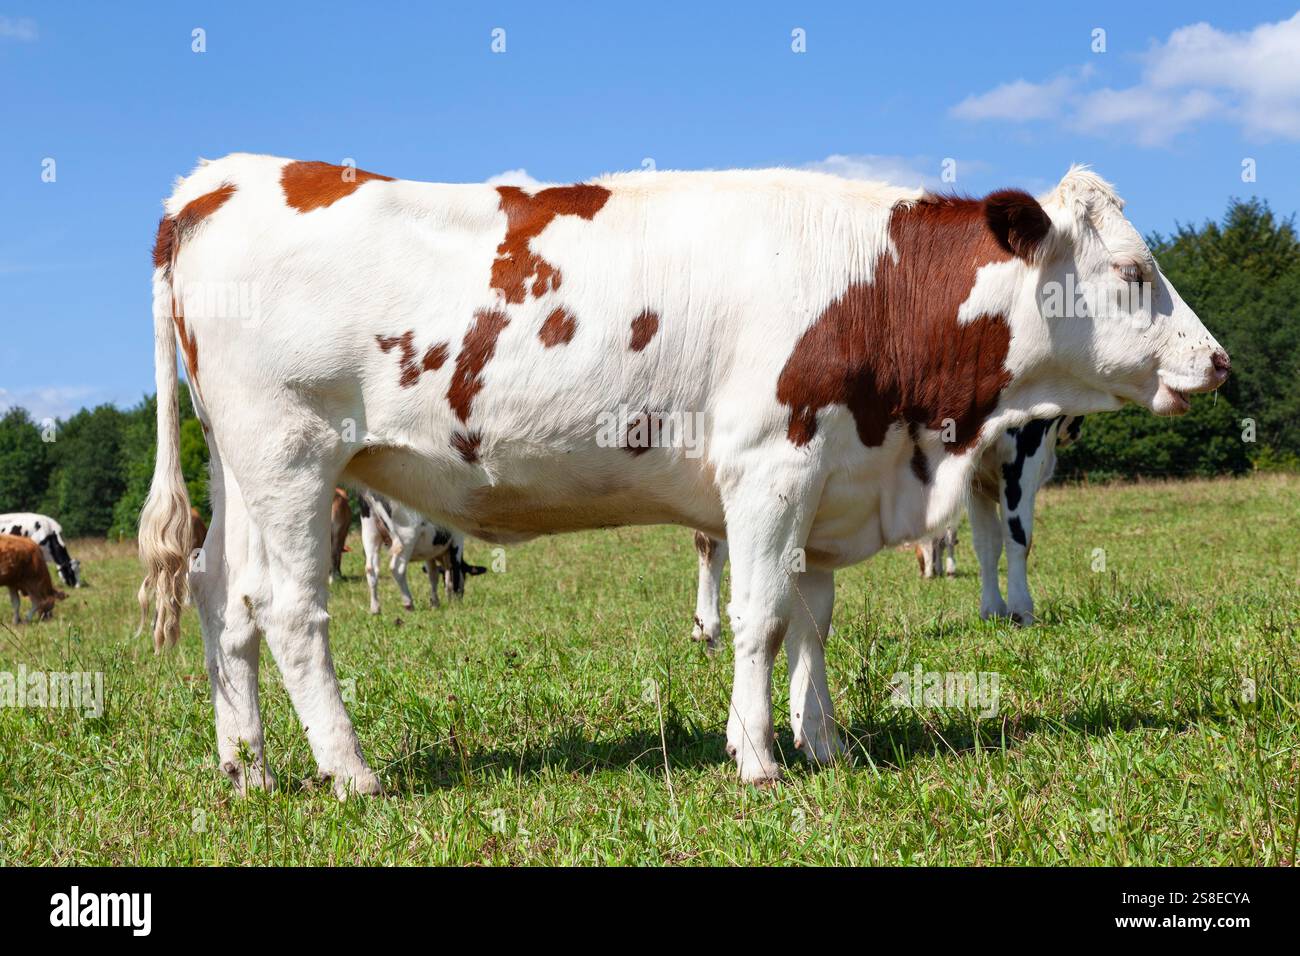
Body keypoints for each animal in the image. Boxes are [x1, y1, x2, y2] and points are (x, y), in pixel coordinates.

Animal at [358, 491, 486, 614]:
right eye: (465, 574)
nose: (460, 598)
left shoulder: (429, 552)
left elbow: (433, 575)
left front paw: (435, 603)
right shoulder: (457, 540)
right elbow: (454, 569)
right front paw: (455, 603)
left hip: (369, 533)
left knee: (371, 569)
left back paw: (375, 608)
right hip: (406, 537)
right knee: (397, 568)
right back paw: (408, 603)